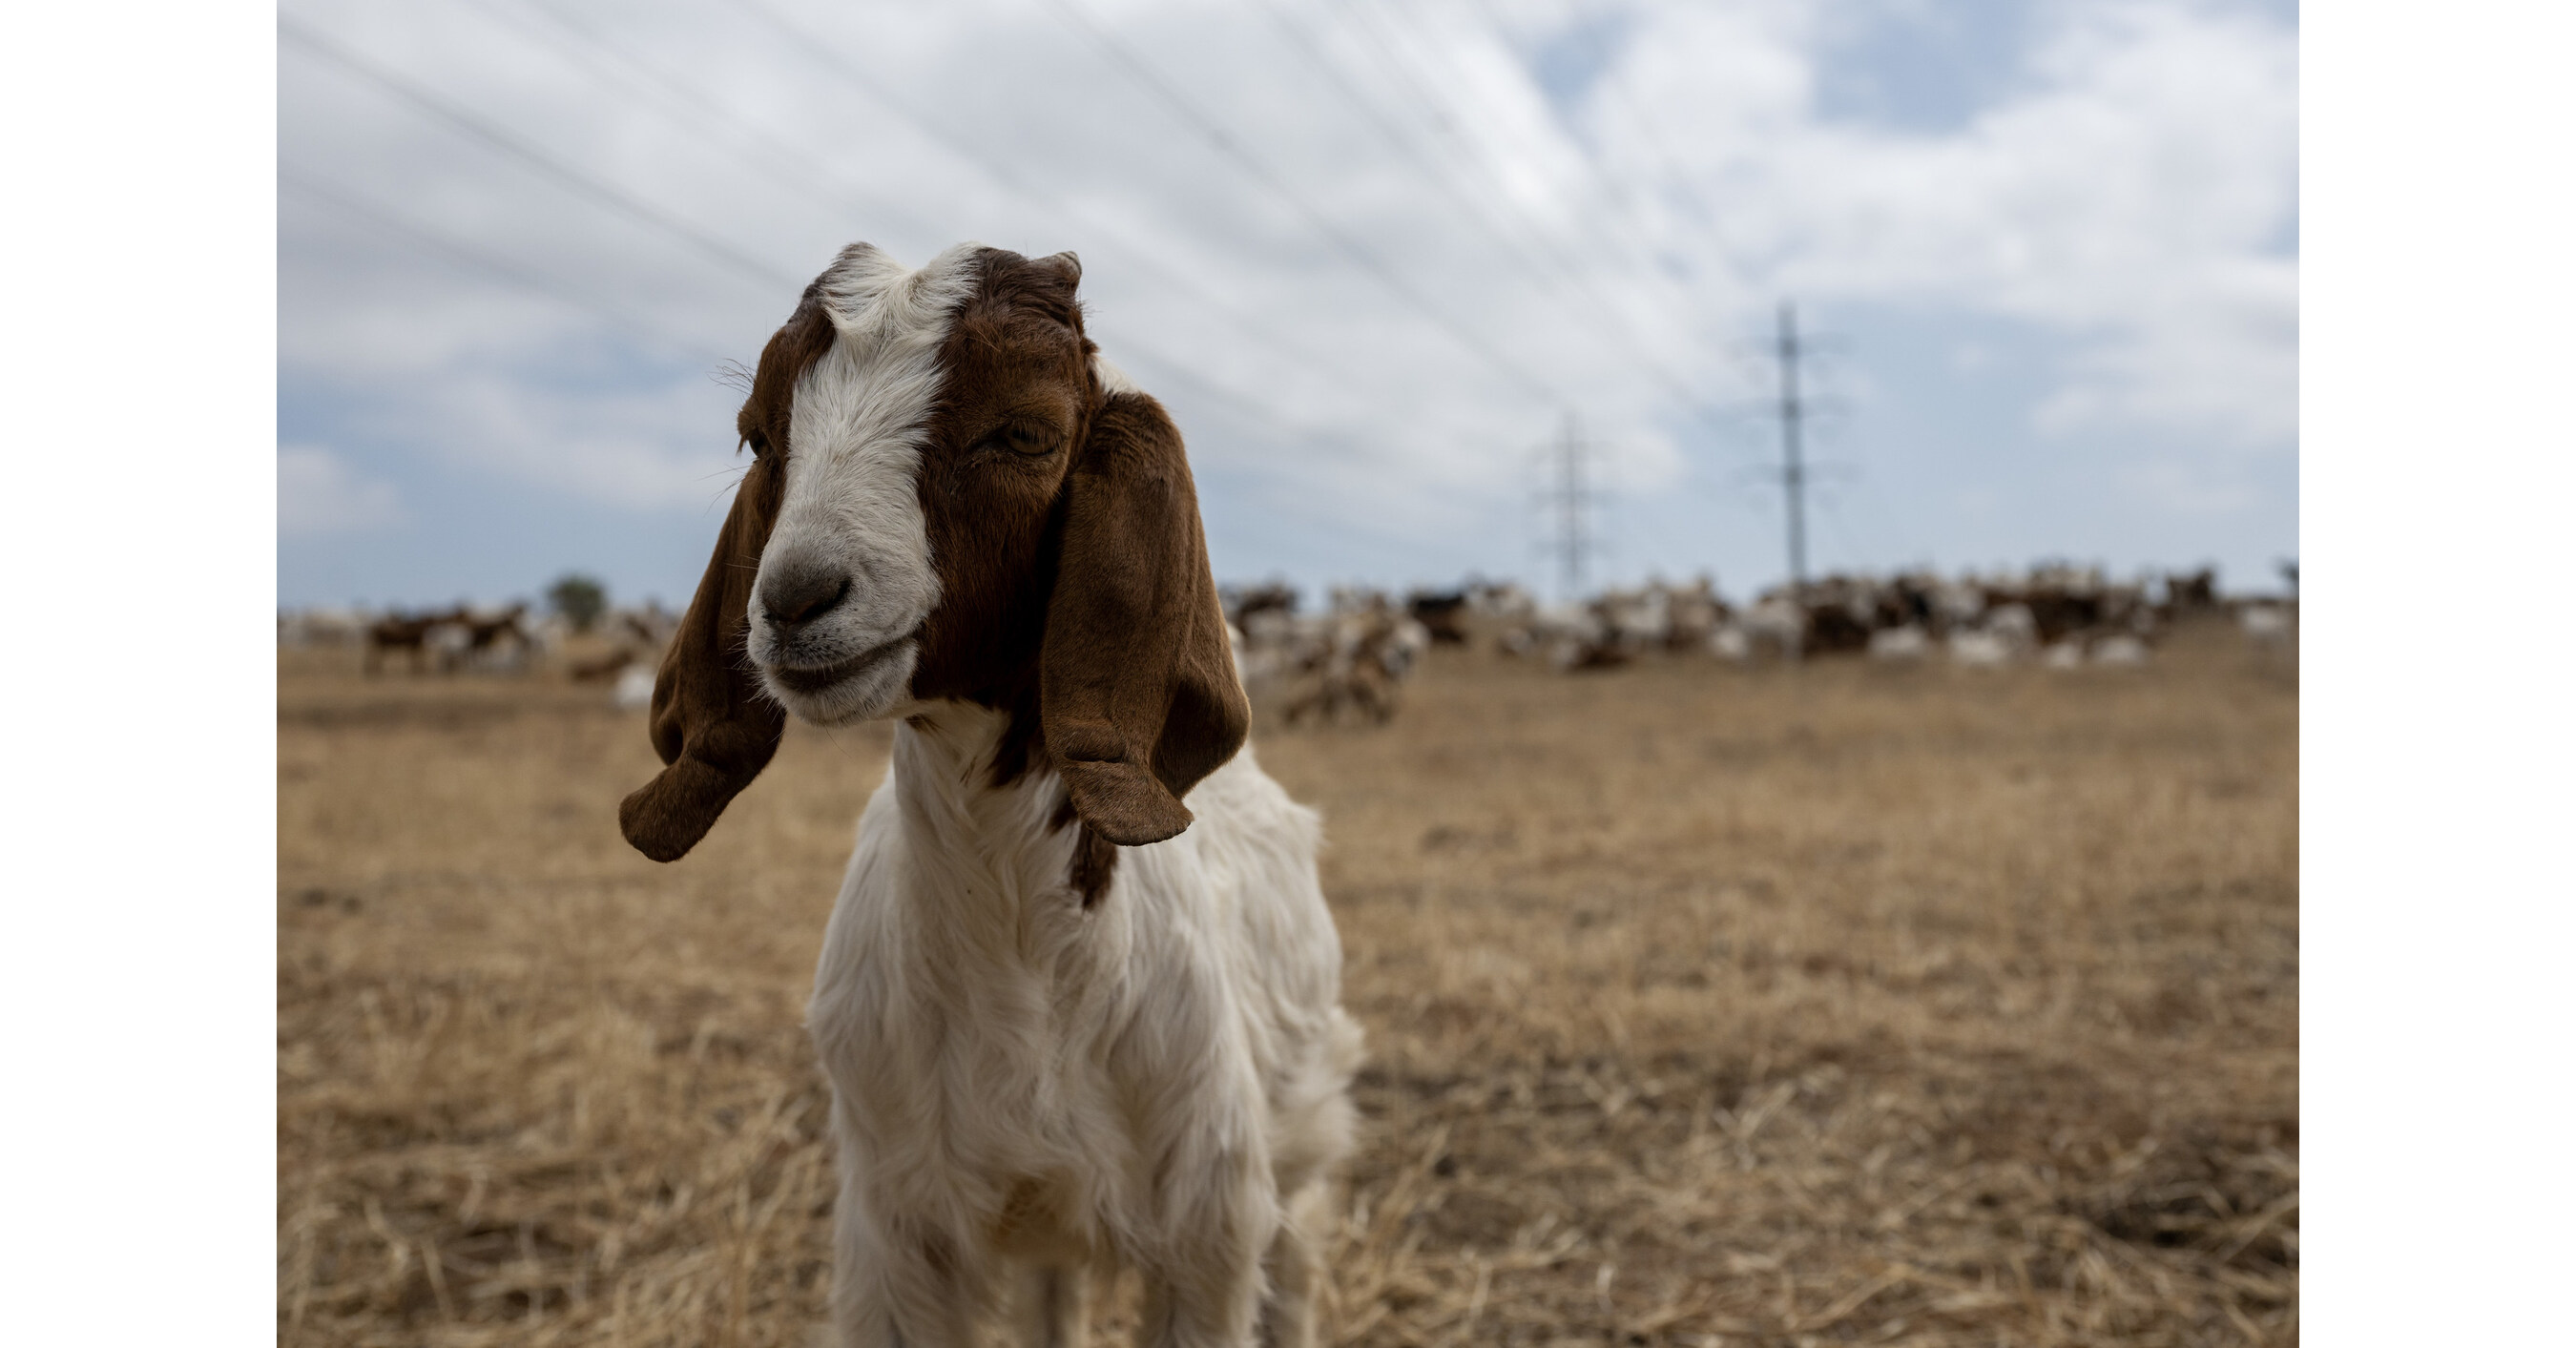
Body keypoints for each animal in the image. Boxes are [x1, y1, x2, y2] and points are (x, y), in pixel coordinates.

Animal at [617, 243, 1361, 1348]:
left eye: (1025, 432)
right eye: (758, 433)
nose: (794, 601)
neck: (1026, 964)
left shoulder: (1207, 1227)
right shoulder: (899, 1226)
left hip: (1299, 1149)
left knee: (1300, 1267)